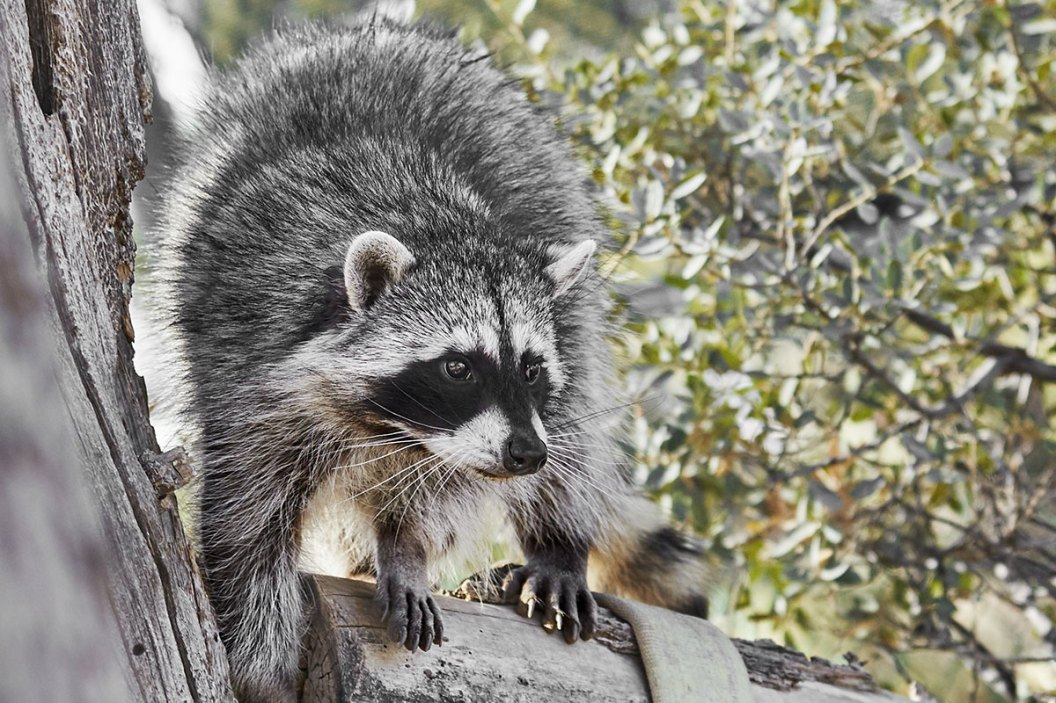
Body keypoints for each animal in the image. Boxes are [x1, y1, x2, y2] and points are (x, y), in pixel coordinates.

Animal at [159, 18, 709, 703]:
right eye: (459, 368)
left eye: (530, 368)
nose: (527, 454)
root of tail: (372, 31)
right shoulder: (243, 361)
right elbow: (245, 520)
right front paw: (260, 664)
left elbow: (446, 489)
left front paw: (405, 545)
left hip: (558, 218)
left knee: (577, 416)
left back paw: (556, 541)